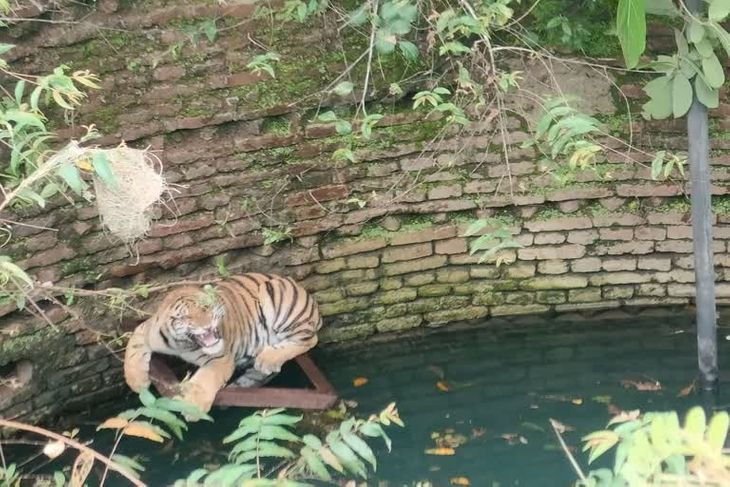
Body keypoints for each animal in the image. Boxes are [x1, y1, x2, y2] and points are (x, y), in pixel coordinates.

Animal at [123, 273, 322, 419]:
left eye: (205, 307)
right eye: (186, 317)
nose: (206, 326)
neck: (183, 344)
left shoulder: (219, 359)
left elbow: (204, 381)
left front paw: (191, 409)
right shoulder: (144, 330)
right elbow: (131, 352)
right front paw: (137, 383)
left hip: (276, 294)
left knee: (309, 340)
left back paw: (268, 359)